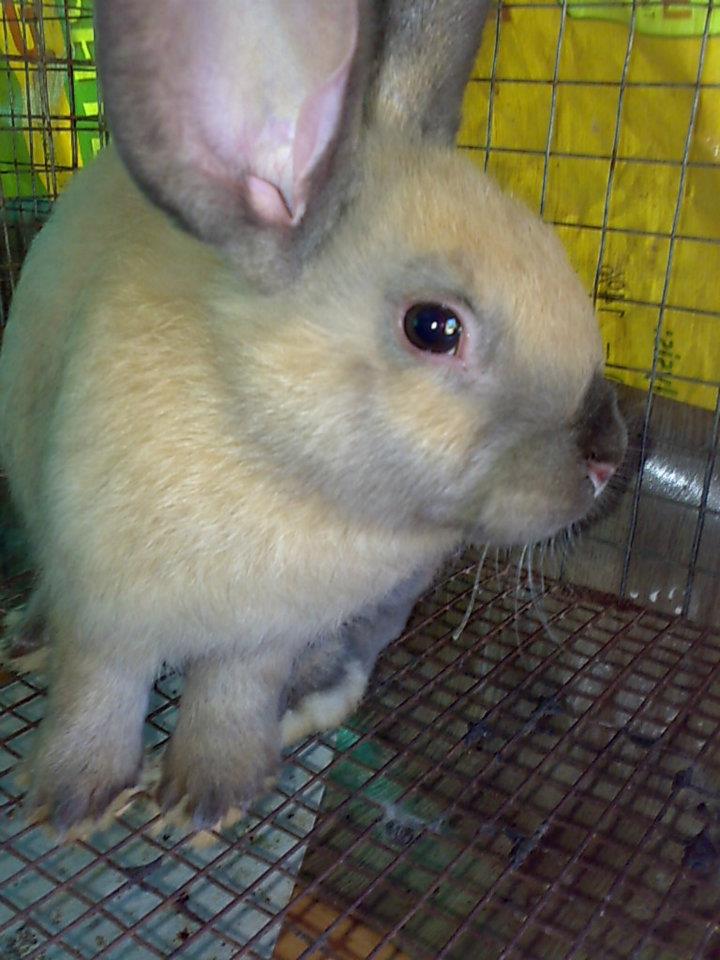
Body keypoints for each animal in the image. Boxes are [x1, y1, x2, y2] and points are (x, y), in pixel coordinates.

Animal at [0, 0, 627, 831]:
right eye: (434, 328)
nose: (609, 455)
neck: (275, 463)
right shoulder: (103, 606)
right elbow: (99, 688)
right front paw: (74, 803)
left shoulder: (263, 637)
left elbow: (231, 695)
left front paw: (209, 798)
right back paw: (27, 640)